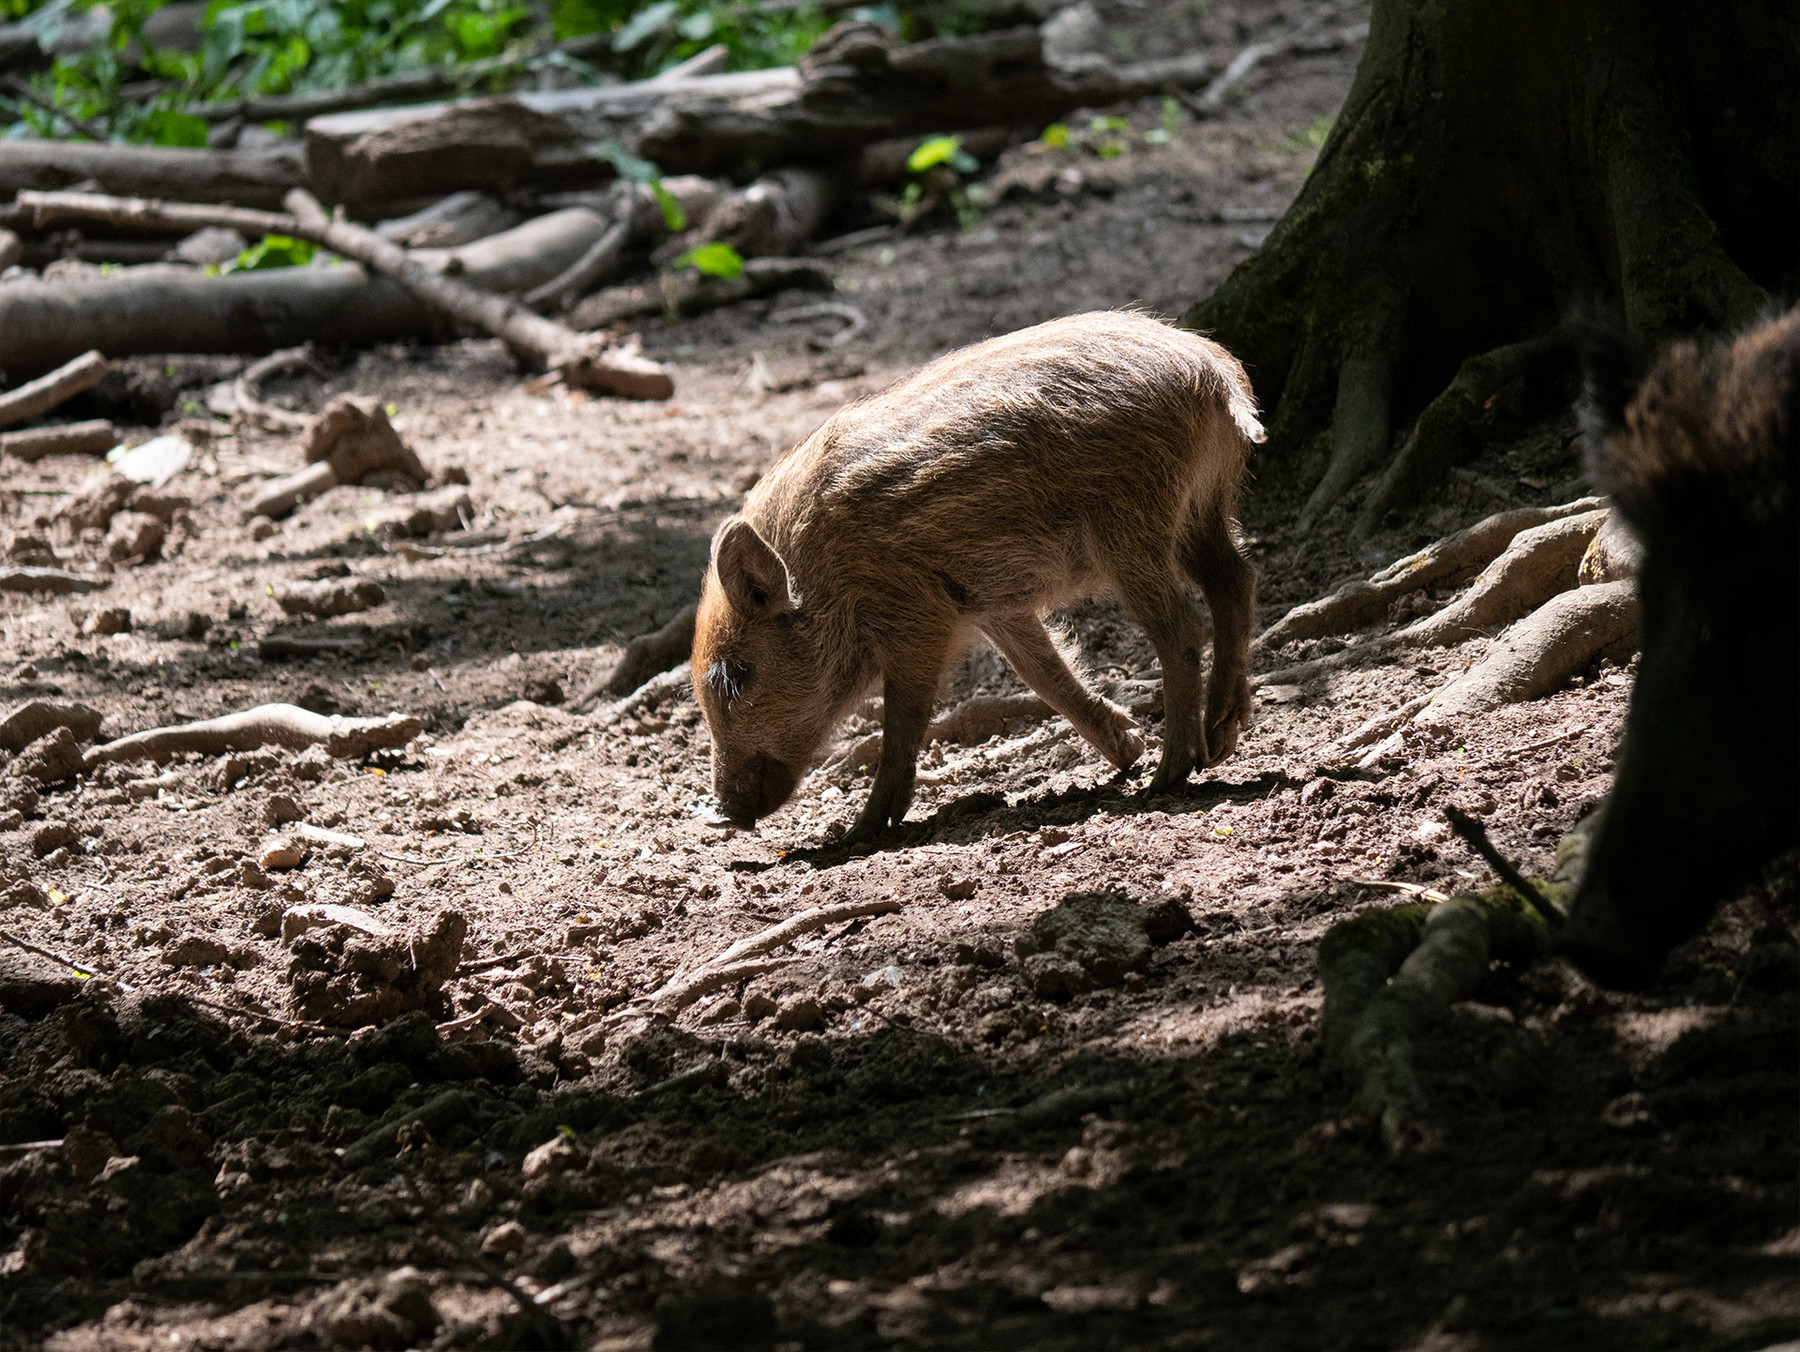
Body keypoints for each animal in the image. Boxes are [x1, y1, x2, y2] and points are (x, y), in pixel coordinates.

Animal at [691, 310, 1263, 841]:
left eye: (736, 674)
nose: (721, 814)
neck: (823, 579)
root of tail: (1213, 373)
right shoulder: (994, 604)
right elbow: (1044, 675)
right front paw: (1127, 752)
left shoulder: (919, 618)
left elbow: (902, 719)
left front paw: (861, 833)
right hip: (1201, 510)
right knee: (1236, 581)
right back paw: (1218, 739)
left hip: (1135, 528)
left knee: (1182, 626)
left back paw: (1170, 775)